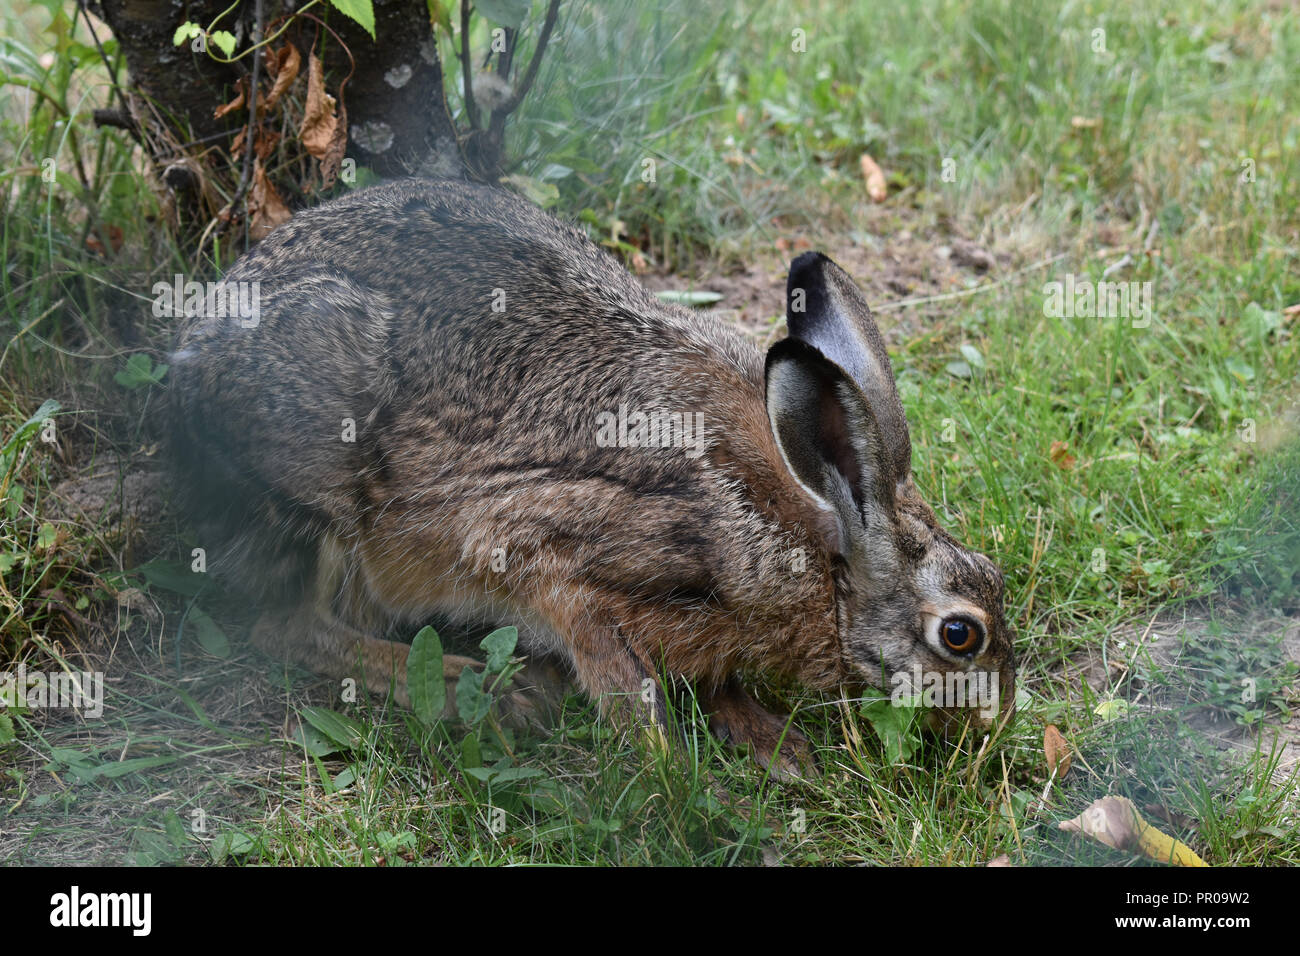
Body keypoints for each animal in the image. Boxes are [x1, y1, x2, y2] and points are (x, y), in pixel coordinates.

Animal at [165, 178, 1016, 776]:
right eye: (960, 635)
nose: (998, 719)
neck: (816, 536)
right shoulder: (554, 563)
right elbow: (625, 689)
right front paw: (681, 786)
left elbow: (715, 681)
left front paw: (778, 750)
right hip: (322, 488)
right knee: (288, 628)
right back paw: (488, 692)